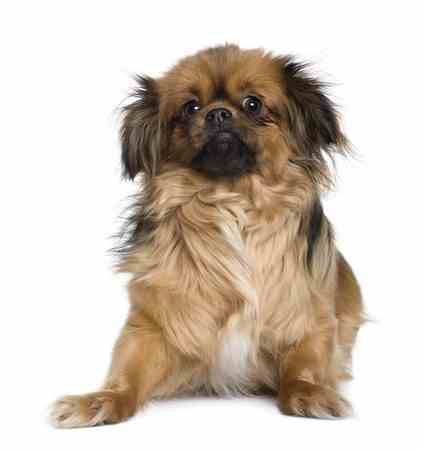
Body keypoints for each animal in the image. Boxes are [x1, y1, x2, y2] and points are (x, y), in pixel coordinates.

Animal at [50, 45, 364, 428]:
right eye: (190, 107)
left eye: (253, 104)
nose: (218, 114)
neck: (230, 201)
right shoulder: (151, 325)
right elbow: (128, 374)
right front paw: (102, 401)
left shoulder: (311, 320)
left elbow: (304, 366)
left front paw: (309, 394)